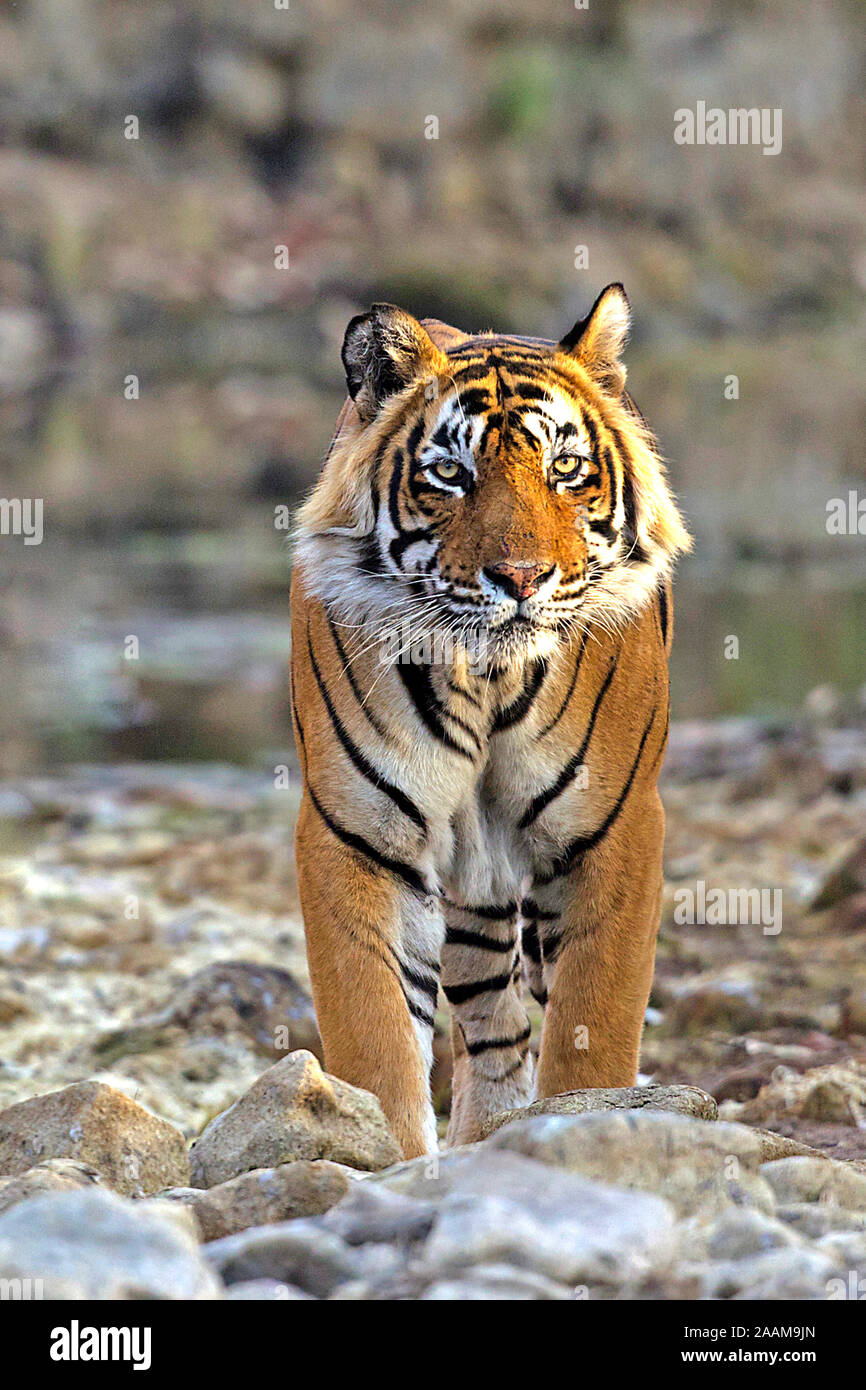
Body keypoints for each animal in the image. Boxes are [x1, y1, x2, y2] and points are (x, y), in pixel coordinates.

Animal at [290, 285, 691, 1158]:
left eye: (565, 468)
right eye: (450, 473)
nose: (521, 577)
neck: (488, 679)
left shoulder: (615, 831)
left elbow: (592, 1025)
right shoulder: (355, 833)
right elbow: (375, 1036)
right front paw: (385, 1158)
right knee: (492, 1018)